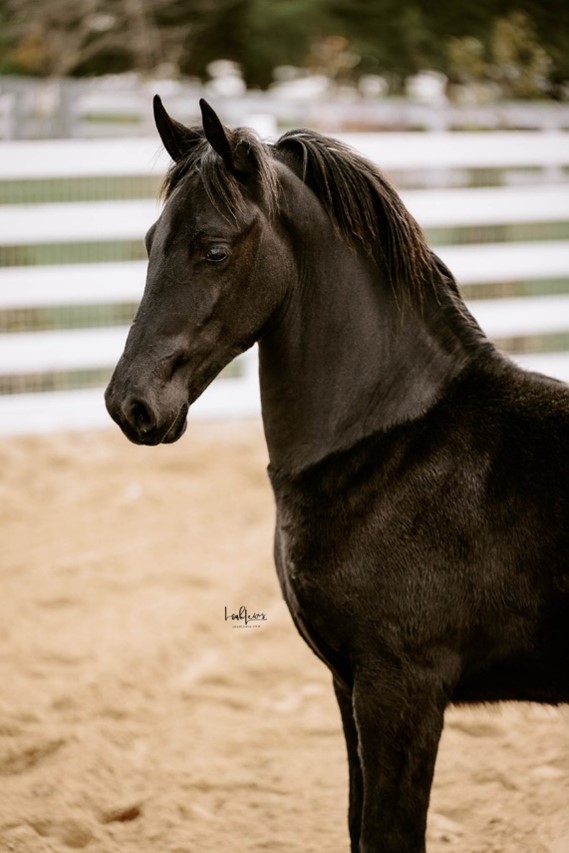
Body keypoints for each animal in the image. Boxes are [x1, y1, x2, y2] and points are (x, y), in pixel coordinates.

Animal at [105, 98, 569, 852]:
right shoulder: (347, 683)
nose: (131, 405)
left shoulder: (401, 690)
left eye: (212, 249)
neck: (391, 445)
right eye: (151, 241)